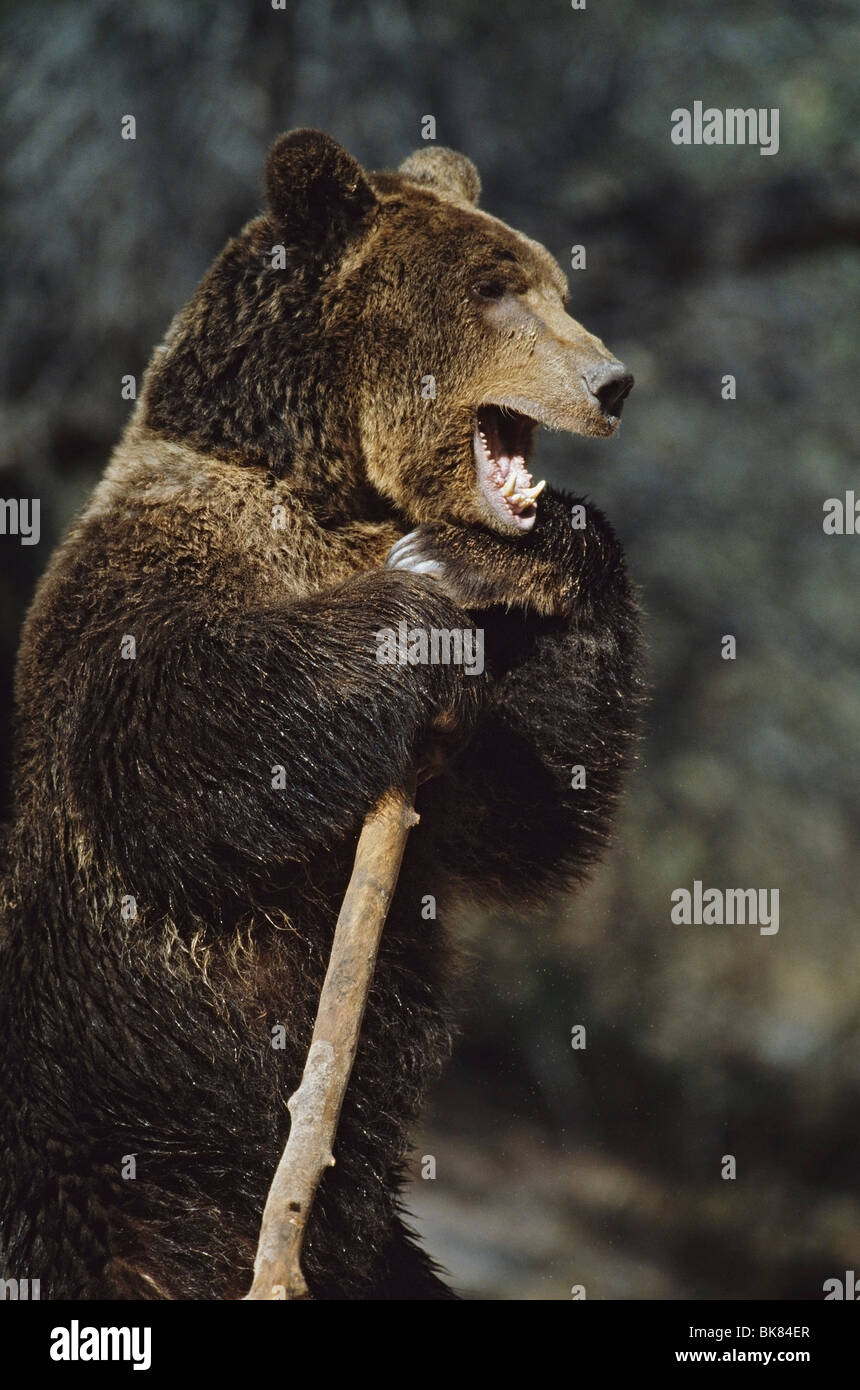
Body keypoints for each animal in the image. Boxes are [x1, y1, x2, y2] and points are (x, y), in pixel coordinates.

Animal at [0, 129, 644, 1300]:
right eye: (495, 290)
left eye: (556, 287)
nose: (610, 382)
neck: (332, 487)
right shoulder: (150, 586)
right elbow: (179, 738)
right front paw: (419, 601)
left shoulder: (456, 762)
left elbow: (526, 805)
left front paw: (525, 550)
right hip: (112, 1149)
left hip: (367, 1237)